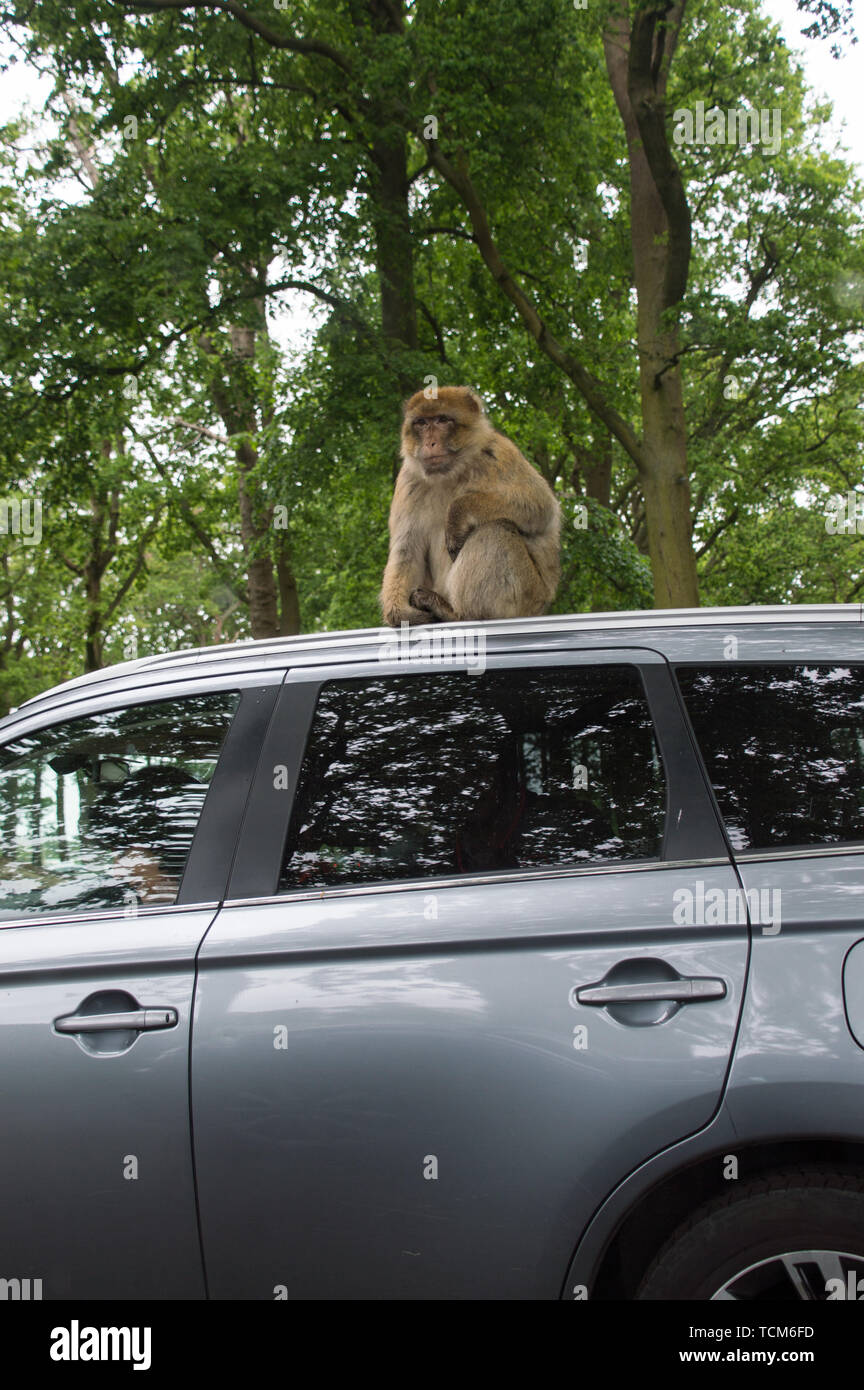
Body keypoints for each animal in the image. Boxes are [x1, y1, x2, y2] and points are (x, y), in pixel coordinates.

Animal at [380, 387, 561, 626]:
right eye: (421, 423)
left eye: (442, 420)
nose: (430, 443)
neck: (450, 474)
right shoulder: (409, 479)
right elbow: (406, 548)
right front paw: (401, 614)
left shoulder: (497, 454)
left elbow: (540, 506)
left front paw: (456, 514)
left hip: (529, 595)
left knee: (495, 530)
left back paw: (456, 613)